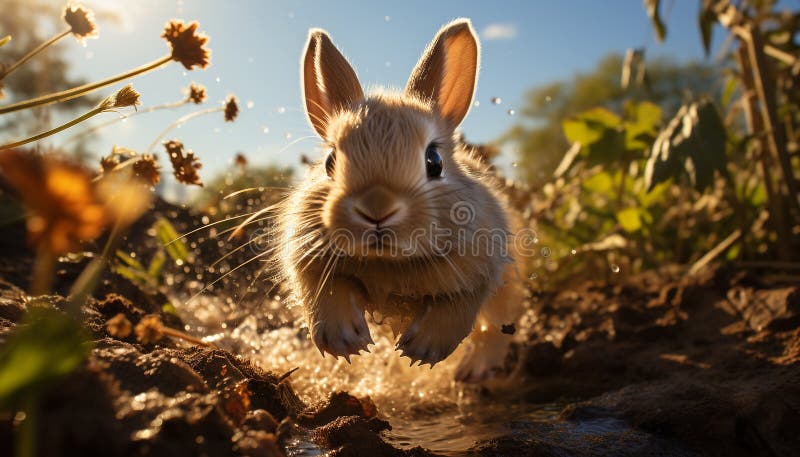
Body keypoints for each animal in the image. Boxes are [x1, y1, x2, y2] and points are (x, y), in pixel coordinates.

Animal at [275, 18, 525, 382]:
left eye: (434, 161)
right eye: (330, 162)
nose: (376, 208)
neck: (388, 263)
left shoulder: (481, 270)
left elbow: (457, 308)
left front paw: (420, 349)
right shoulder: (310, 261)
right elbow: (324, 295)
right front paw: (344, 341)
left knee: (494, 330)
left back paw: (471, 372)